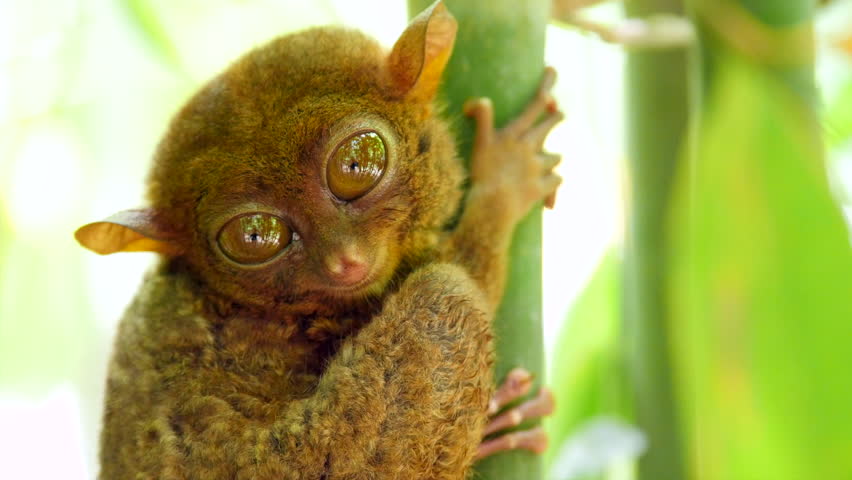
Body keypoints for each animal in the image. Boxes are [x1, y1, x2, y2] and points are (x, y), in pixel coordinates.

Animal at [75, 2, 561, 478]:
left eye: (355, 165)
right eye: (256, 236)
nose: (344, 261)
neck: (234, 303)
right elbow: (468, 272)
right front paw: (503, 180)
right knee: (445, 291)